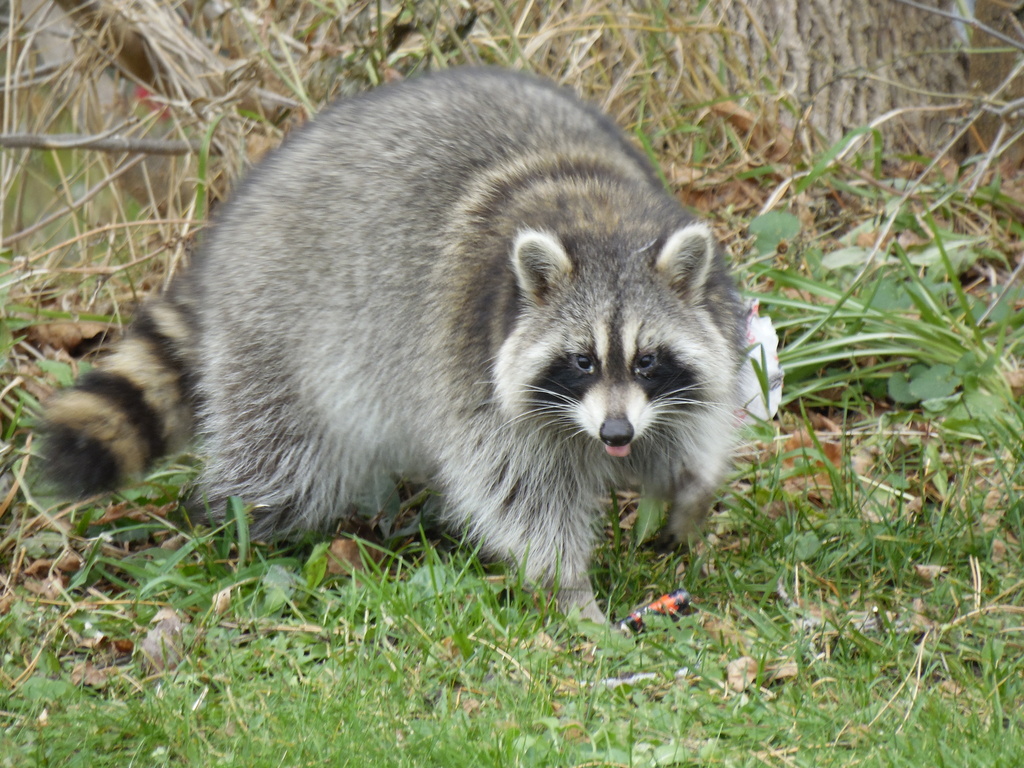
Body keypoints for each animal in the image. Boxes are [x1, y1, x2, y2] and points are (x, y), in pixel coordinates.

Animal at [42, 68, 745, 623]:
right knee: (280, 461)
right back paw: (243, 526)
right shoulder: (470, 366)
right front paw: (566, 584)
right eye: (581, 361)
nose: (616, 434)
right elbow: (517, 487)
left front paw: (692, 488)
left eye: (647, 360)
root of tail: (235, 223)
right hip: (280, 329)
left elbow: (688, 427)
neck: (597, 215)